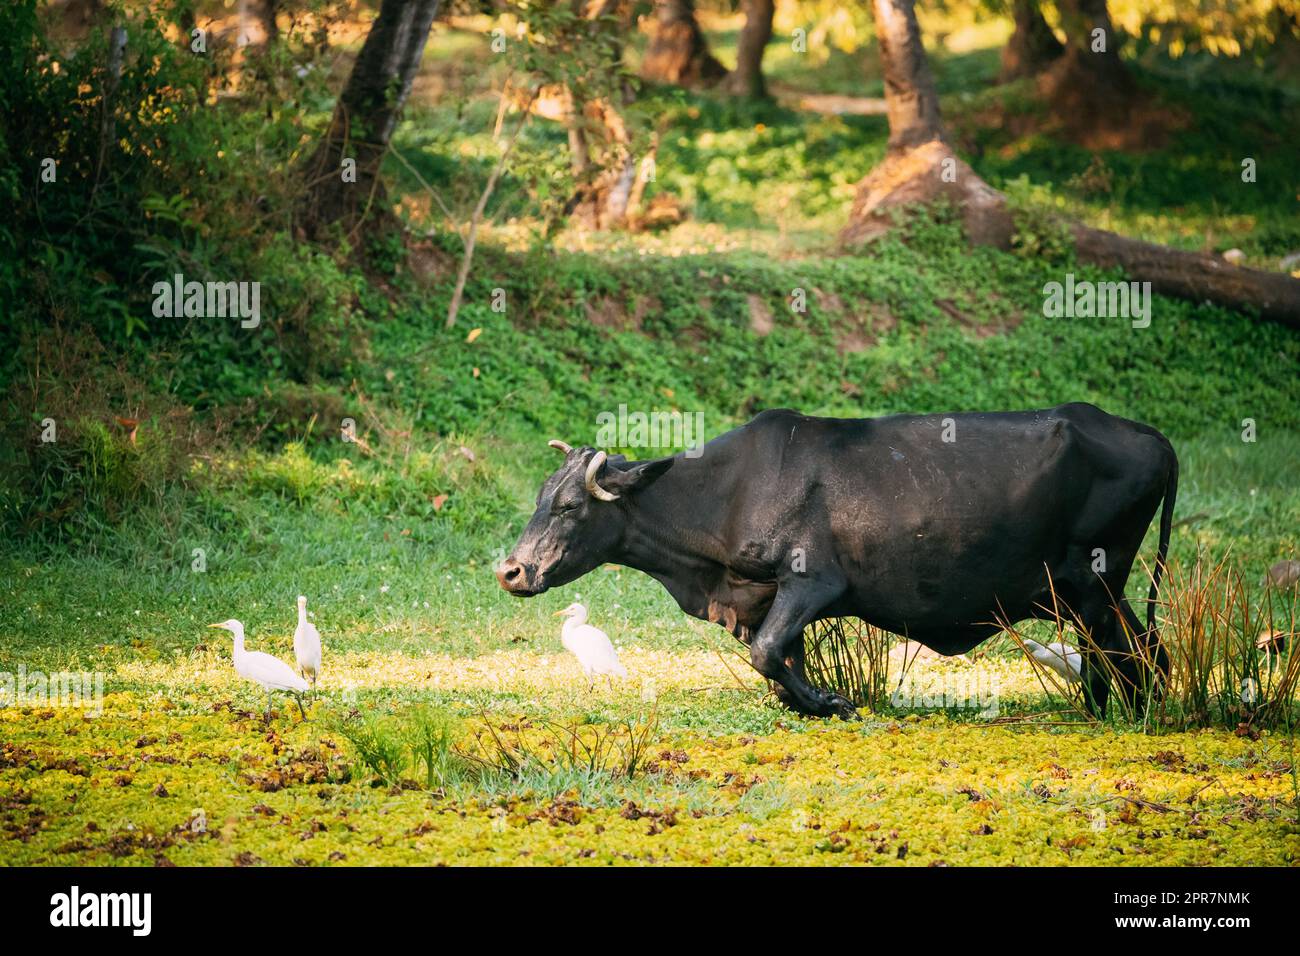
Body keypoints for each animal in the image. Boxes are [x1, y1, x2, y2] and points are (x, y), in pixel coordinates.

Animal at [496, 404, 1178, 720]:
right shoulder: (763, 597)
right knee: (1143, 650)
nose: (511, 571)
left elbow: (767, 653)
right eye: (540, 497)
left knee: (1127, 652)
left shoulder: (812, 580)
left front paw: (834, 703)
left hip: (1094, 583)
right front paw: (811, 703)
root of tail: (1146, 433)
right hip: (1094, 593)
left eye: (569, 506)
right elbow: (780, 660)